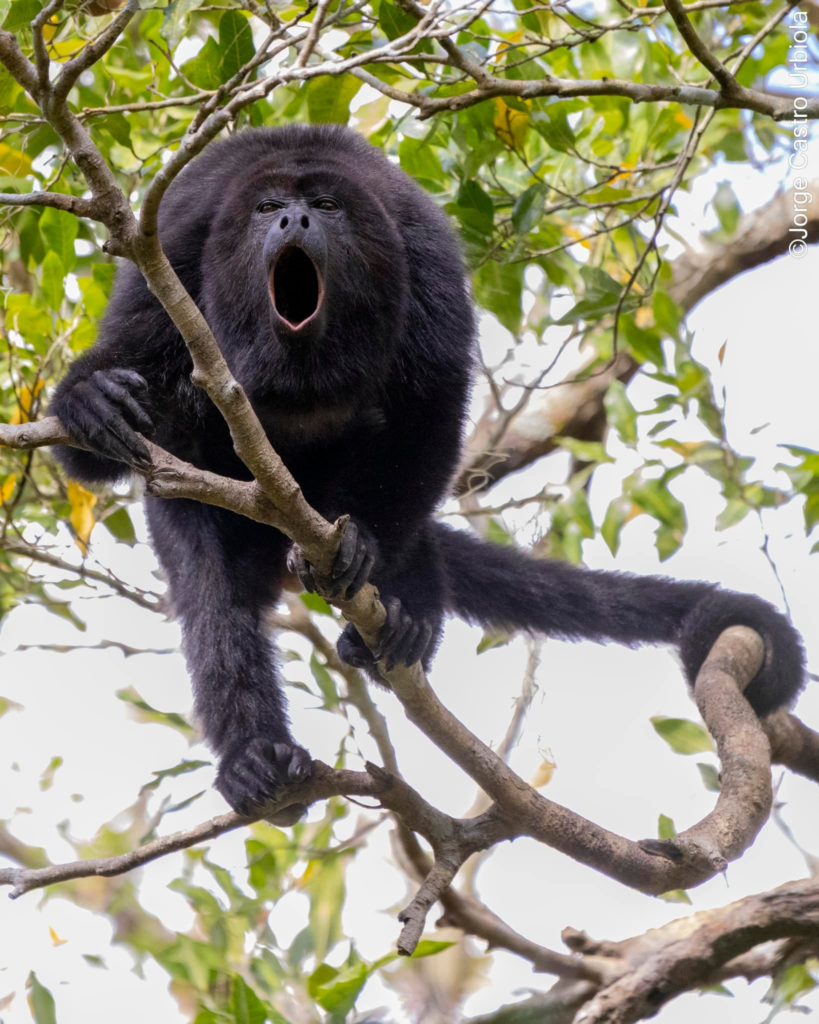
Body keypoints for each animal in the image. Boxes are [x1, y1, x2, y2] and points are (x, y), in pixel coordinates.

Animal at [49, 124, 806, 816]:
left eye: (326, 206)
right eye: (267, 209)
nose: (294, 219)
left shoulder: (421, 250)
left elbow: (430, 416)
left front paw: (366, 552)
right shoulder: (173, 246)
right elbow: (114, 410)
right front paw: (91, 398)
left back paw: (408, 608)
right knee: (211, 593)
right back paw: (256, 757)